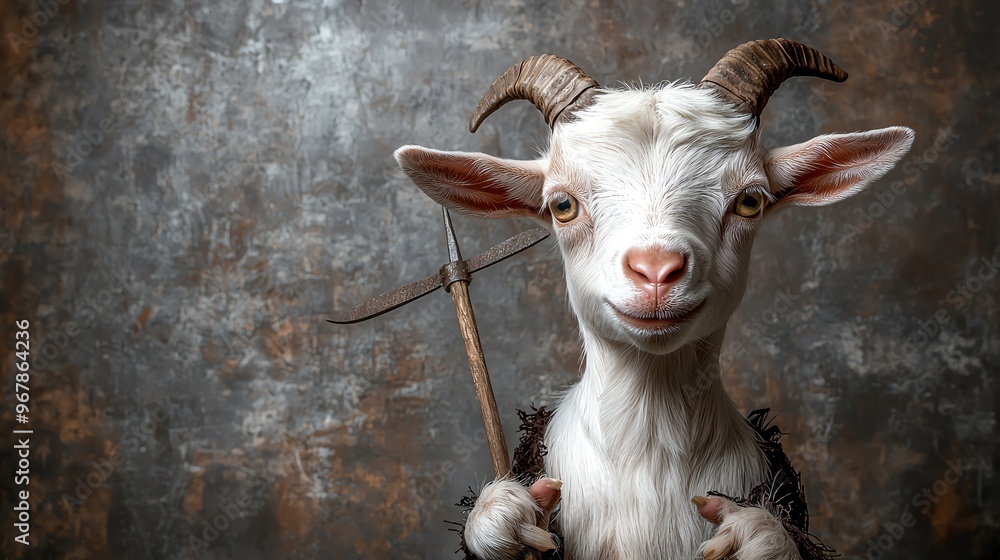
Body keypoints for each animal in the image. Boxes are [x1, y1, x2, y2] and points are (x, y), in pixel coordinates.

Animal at [394, 39, 914, 560]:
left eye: (750, 200)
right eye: (562, 205)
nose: (656, 271)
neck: (649, 454)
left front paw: (756, 532)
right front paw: (503, 517)